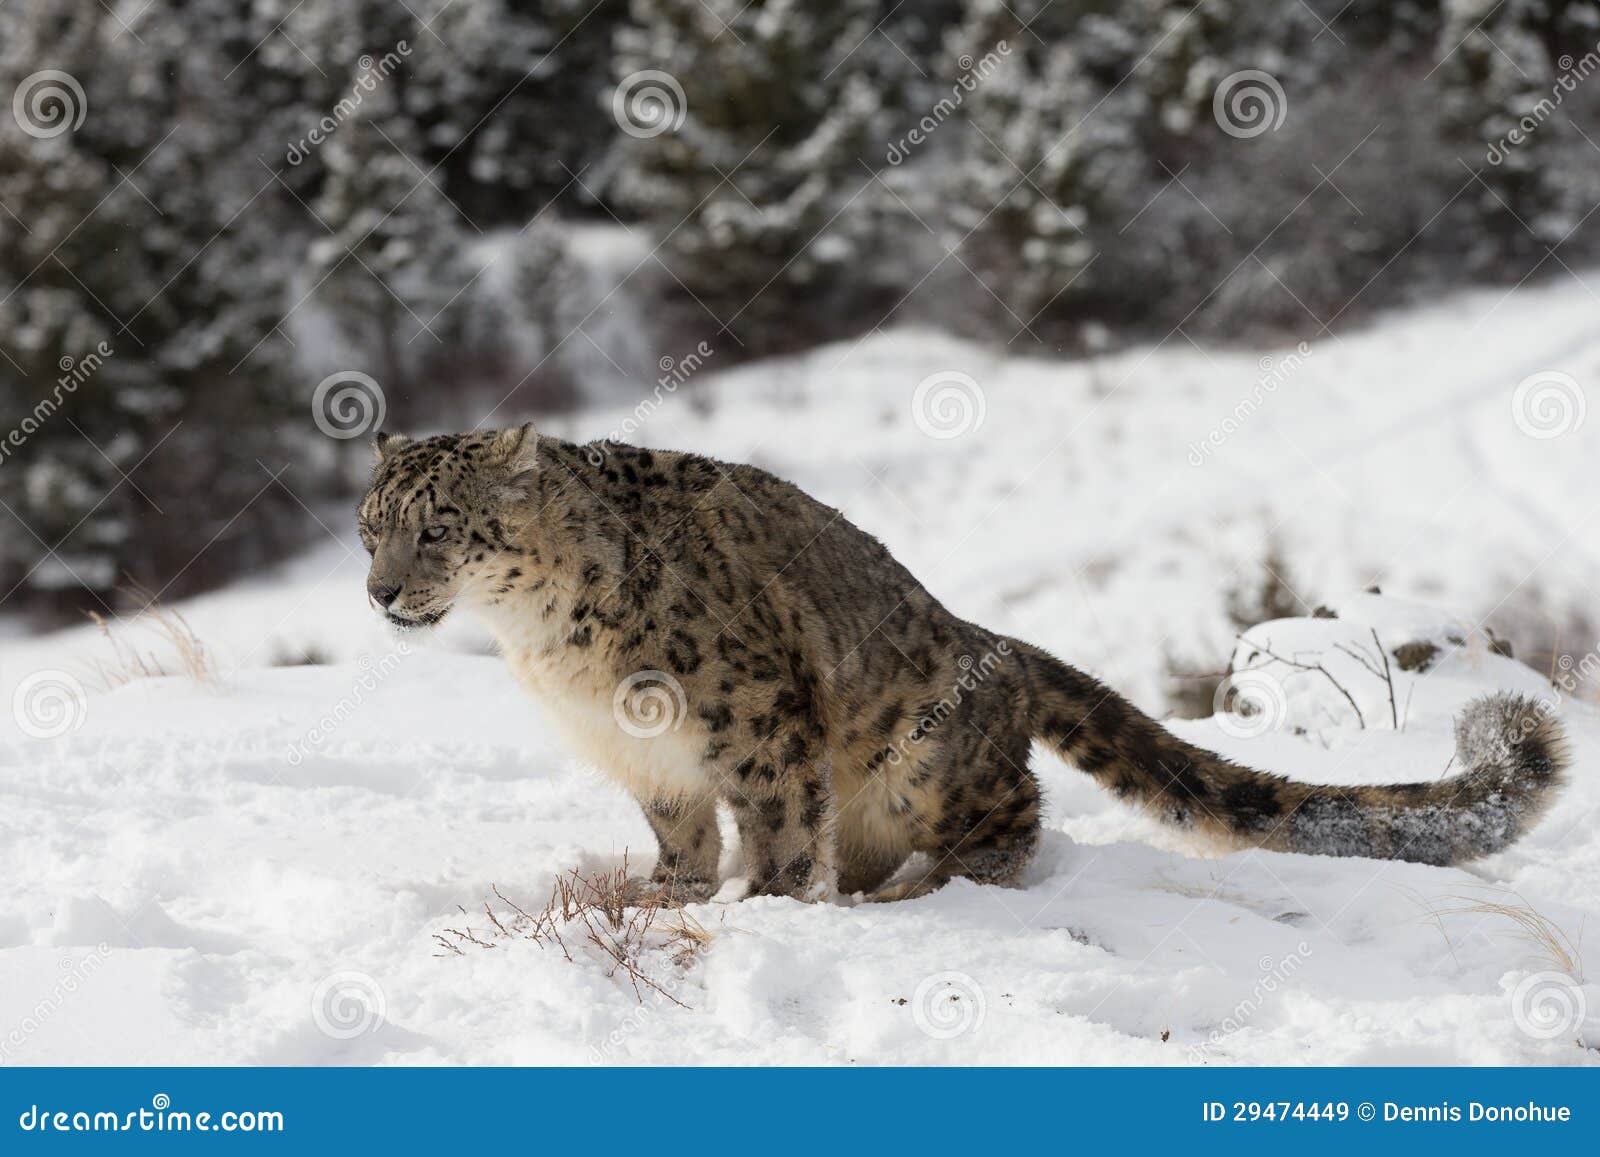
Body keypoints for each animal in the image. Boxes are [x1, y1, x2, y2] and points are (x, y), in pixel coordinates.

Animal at [357, 424, 1569, 904]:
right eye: (370, 527)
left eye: (439, 527)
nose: (376, 591)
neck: (545, 643)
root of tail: (999, 642)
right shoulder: (648, 750)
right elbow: (682, 831)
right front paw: (666, 893)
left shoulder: (755, 719)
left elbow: (780, 827)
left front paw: (761, 907)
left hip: (927, 754)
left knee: (1014, 817)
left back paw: (920, 883)